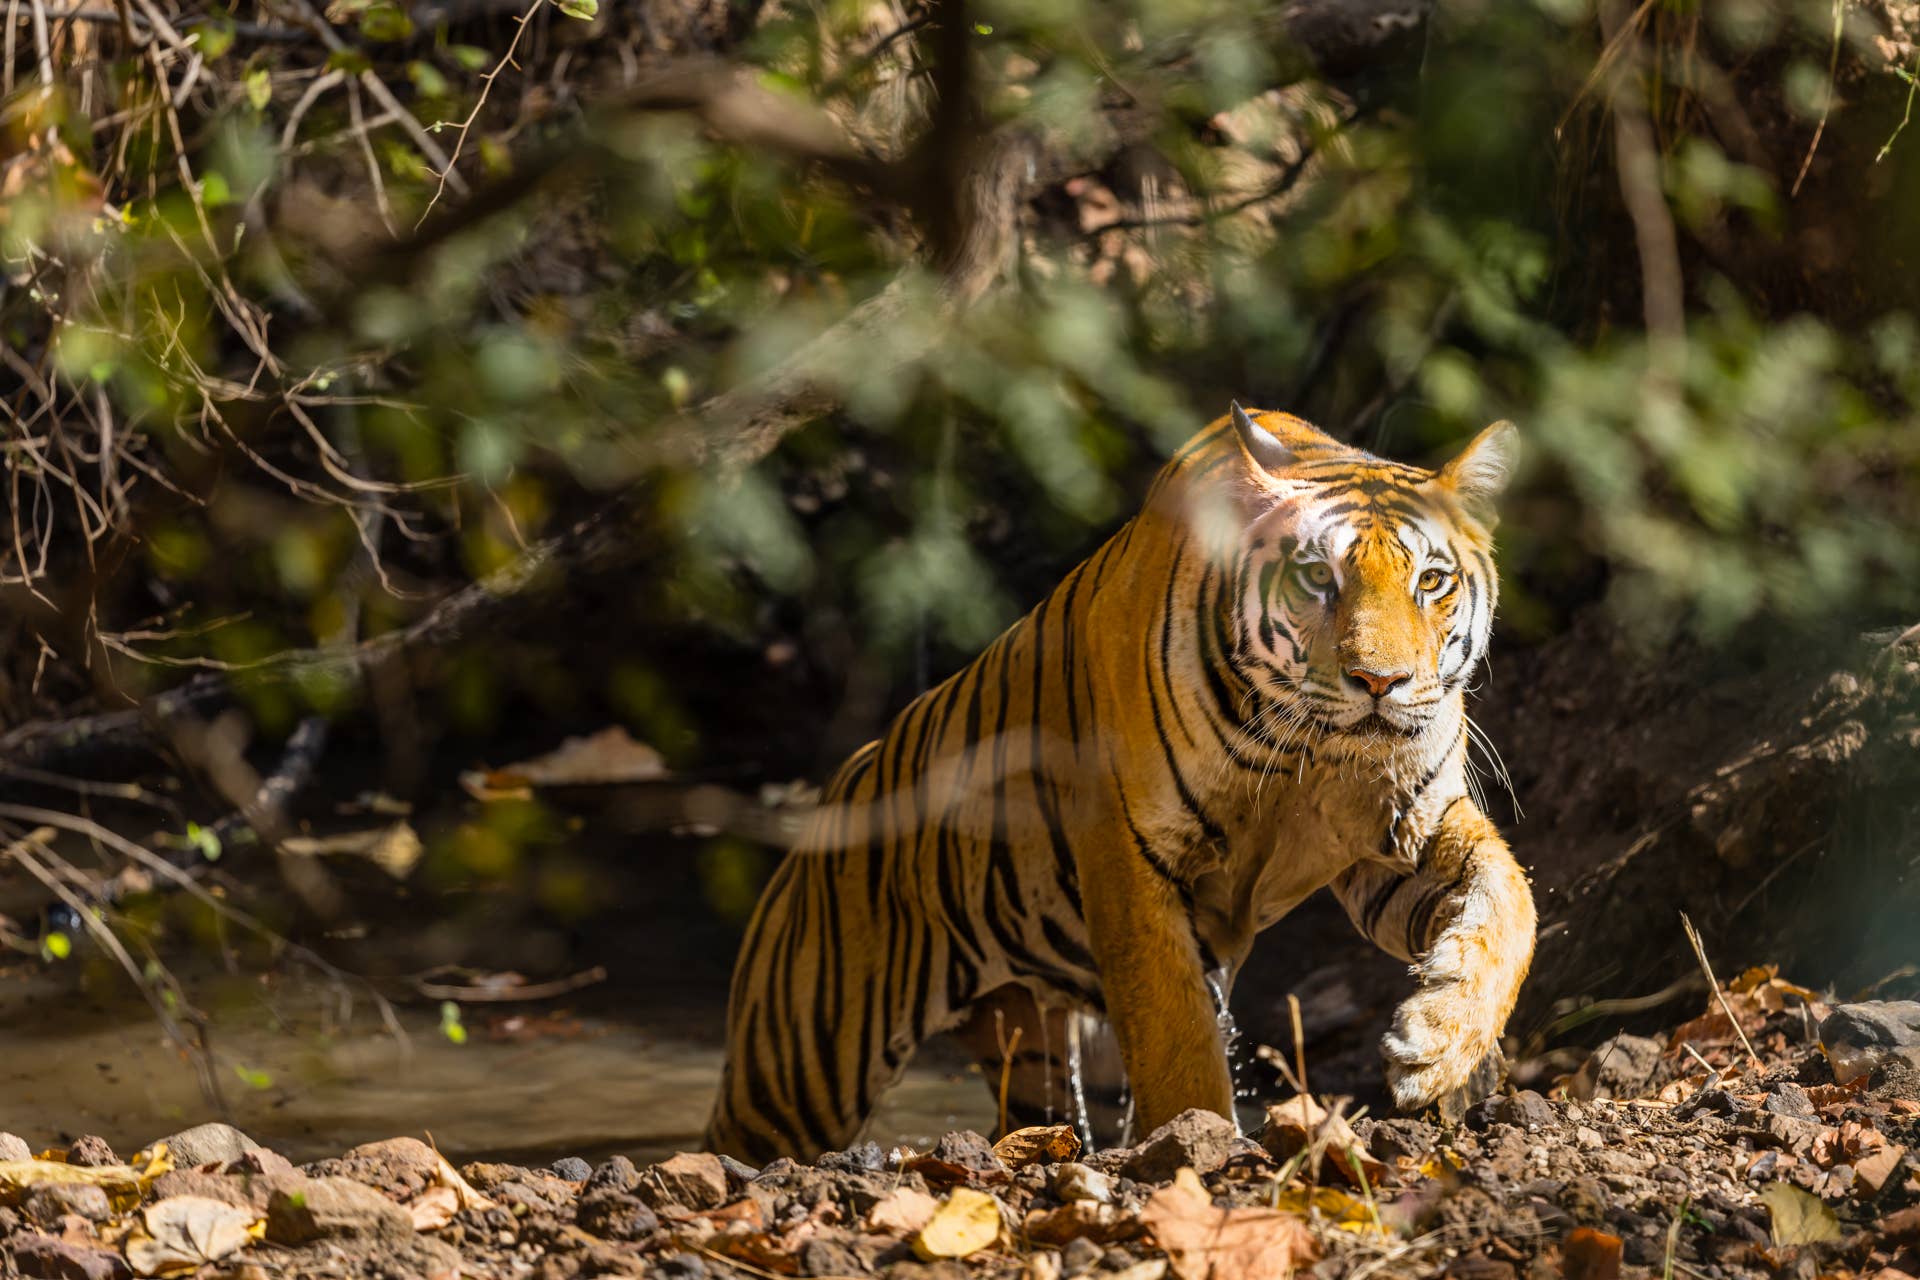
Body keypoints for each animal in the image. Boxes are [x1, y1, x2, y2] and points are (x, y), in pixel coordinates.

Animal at [705, 405, 1536, 1162]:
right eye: (1316, 578)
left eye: (1432, 581)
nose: (1379, 682)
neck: (1311, 756)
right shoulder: (1132, 859)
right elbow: (1177, 1040)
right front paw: (1202, 1143)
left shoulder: (1402, 835)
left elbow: (1509, 902)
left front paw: (1436, 1047)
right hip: (797, 1065)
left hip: (1028, 1041)